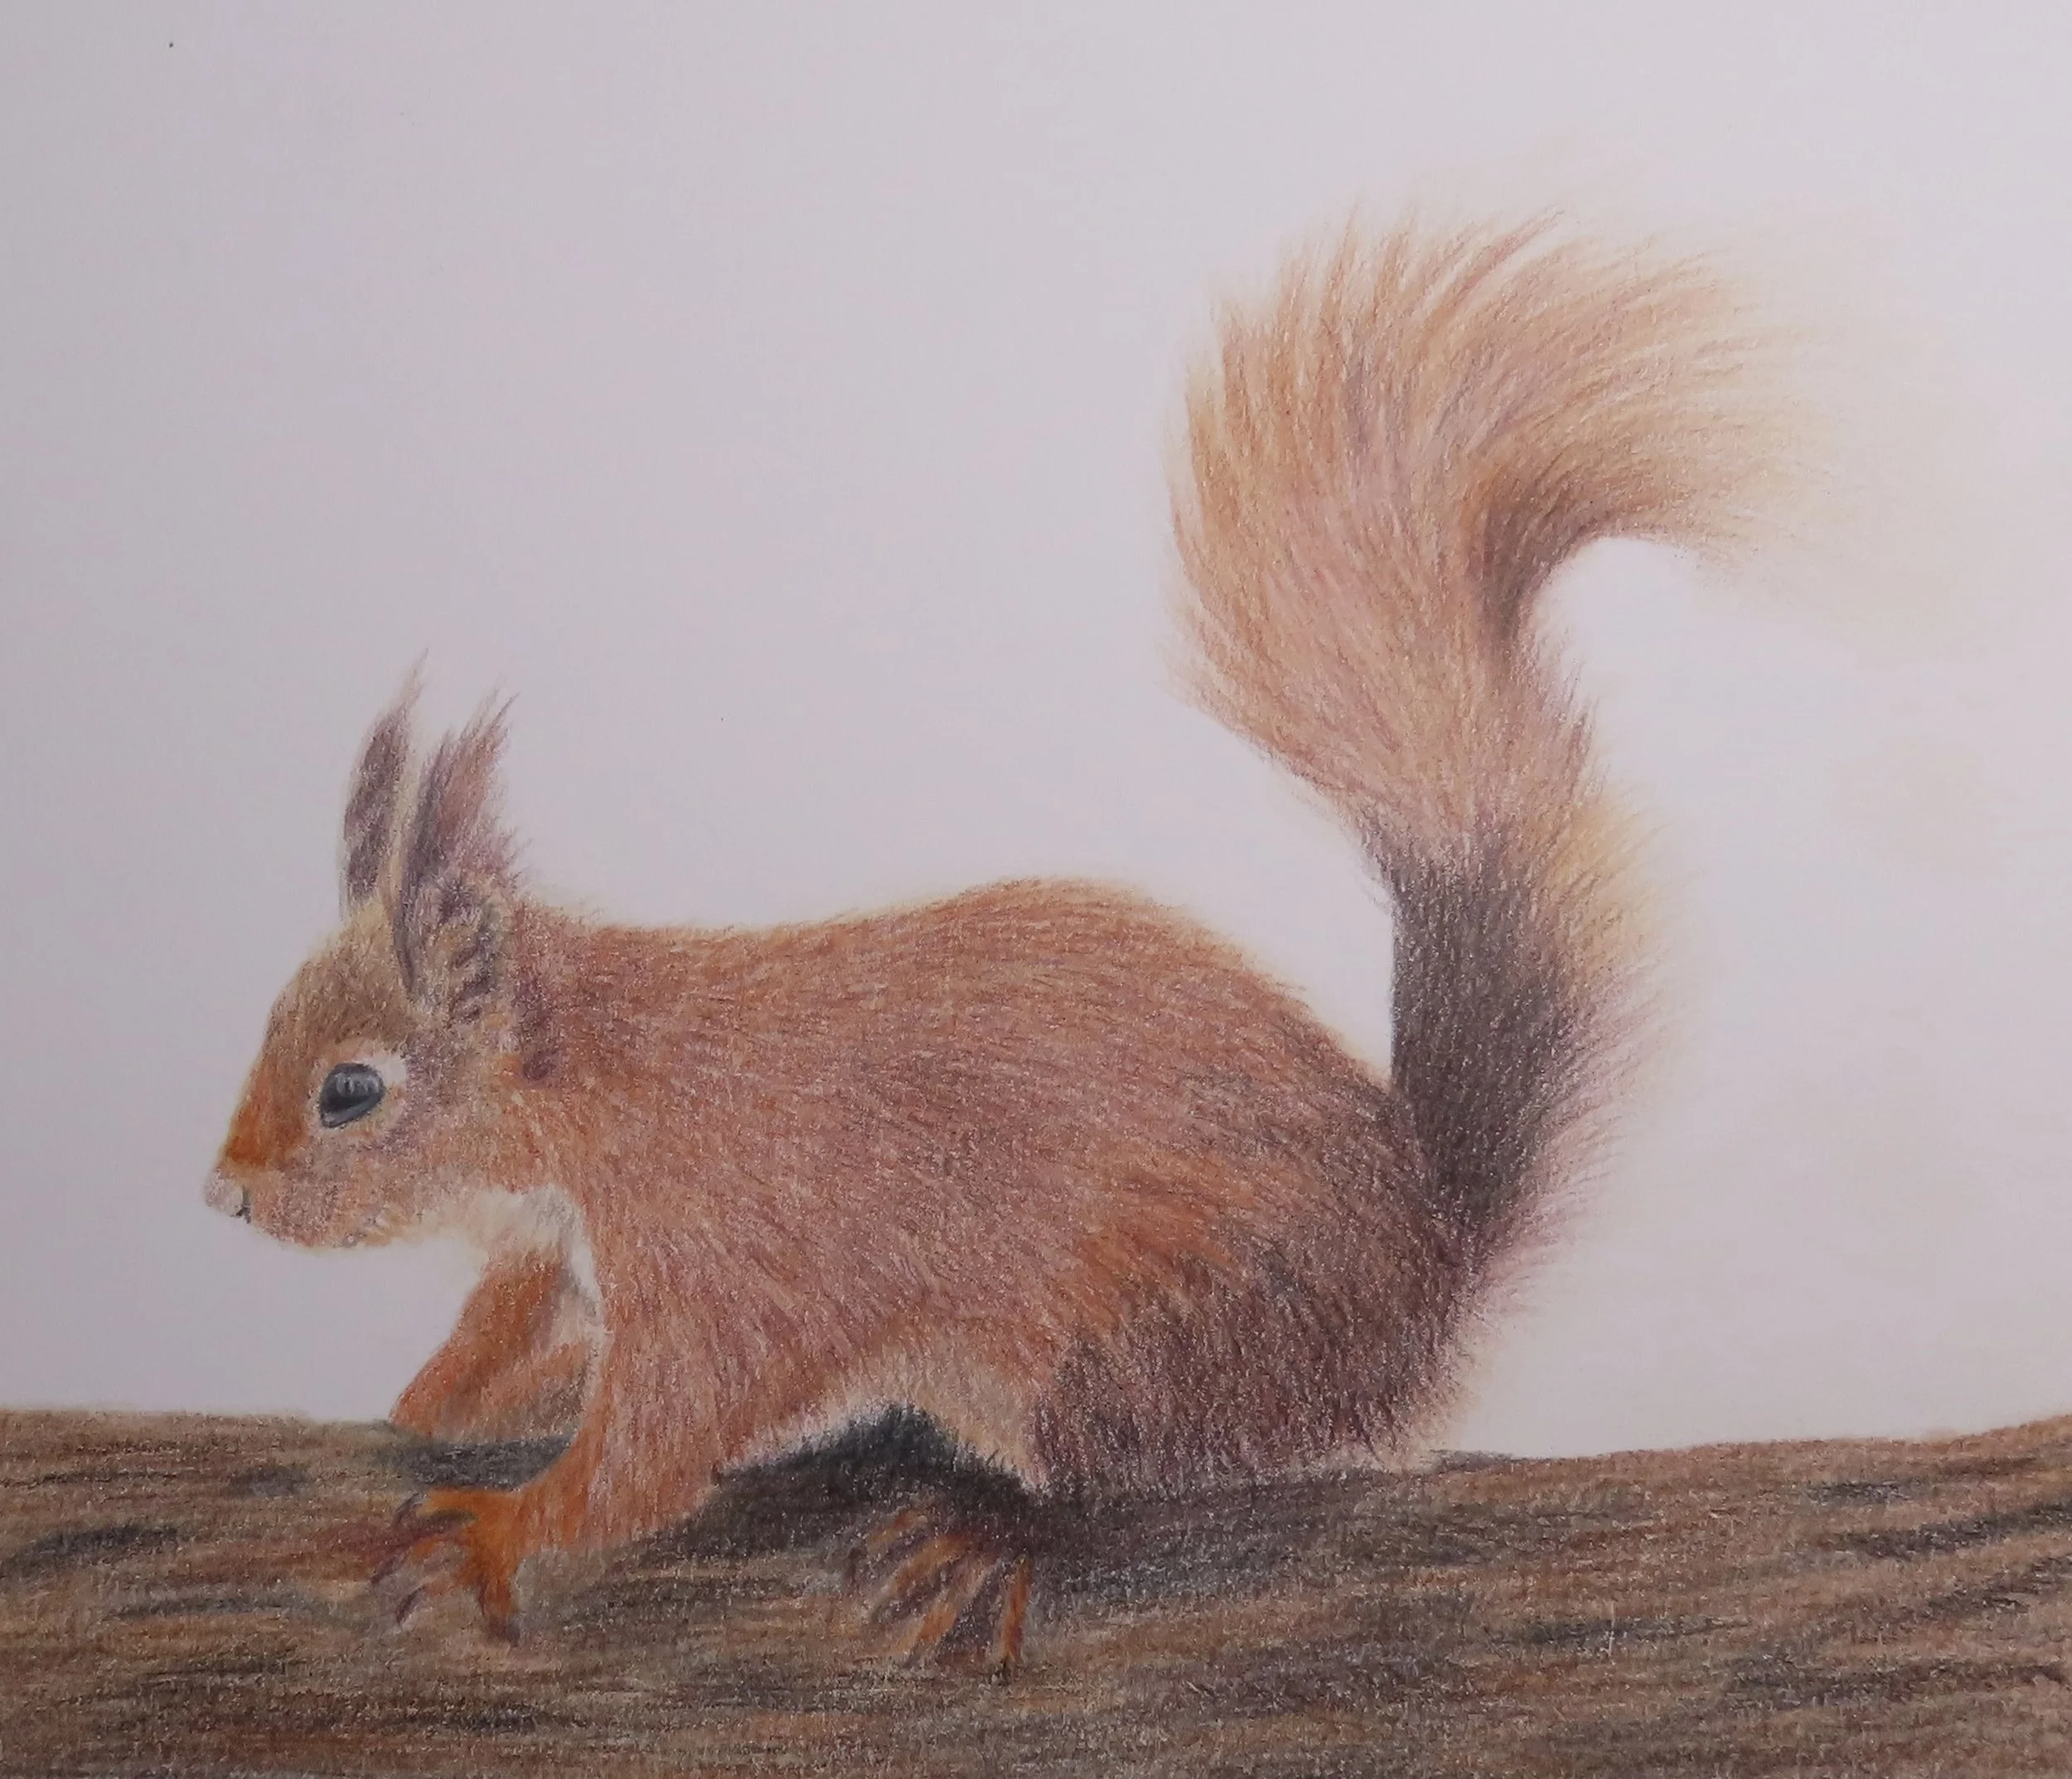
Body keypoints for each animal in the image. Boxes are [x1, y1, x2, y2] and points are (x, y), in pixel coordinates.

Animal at [206, 218, 1786, 1654]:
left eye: (352, 1091)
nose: (224, 1197)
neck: (587, 1099)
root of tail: (1425, 1277)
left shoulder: (726, 1249)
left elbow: (661, 1438)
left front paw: (504, 1525)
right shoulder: (558, 1257)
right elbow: (497, 1354)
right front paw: (452, 1402)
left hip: (1125, 1342)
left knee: (1175, 1491)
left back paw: (999, 1533)